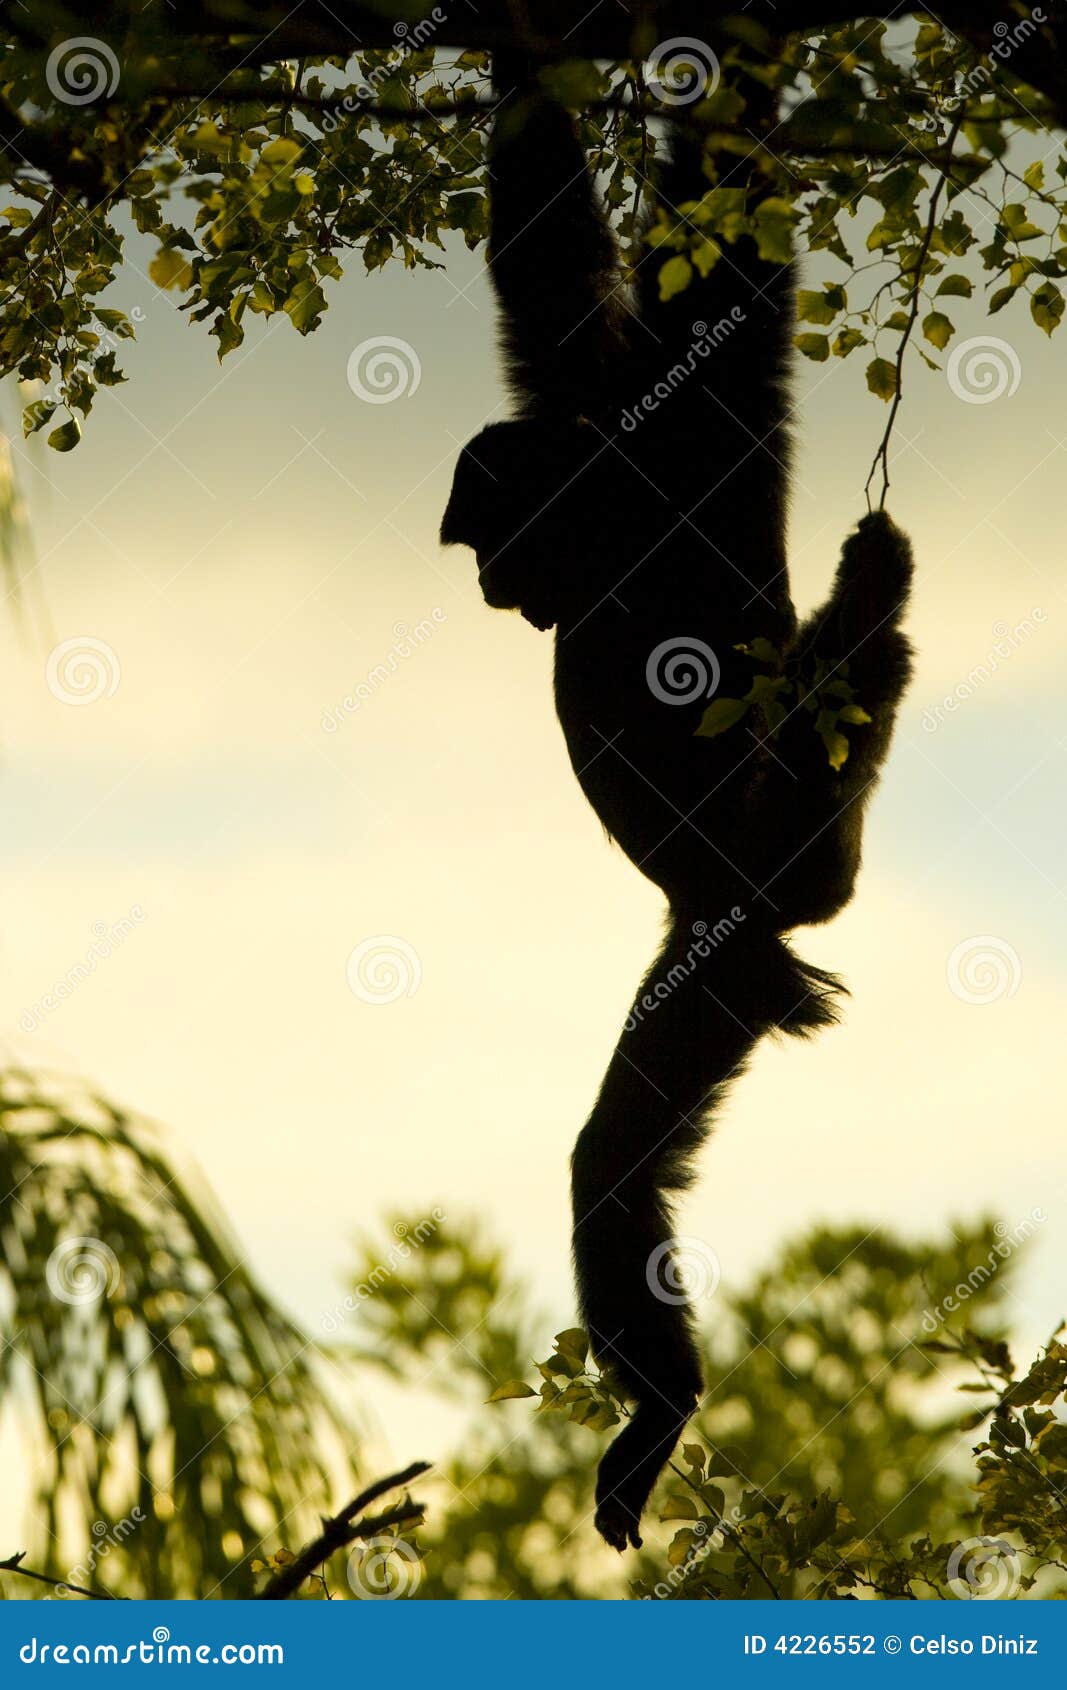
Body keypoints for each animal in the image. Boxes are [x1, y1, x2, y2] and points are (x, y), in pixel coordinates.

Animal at [441, 54, 914, 1553]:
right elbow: (560, 261)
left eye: (481, 533)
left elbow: (713, 260)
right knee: (615, 1174)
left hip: (754, 889)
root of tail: (755, 932)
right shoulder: (618, 382)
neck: (620, 530)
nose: (485, 582)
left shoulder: (689, 456)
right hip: (710, 964)